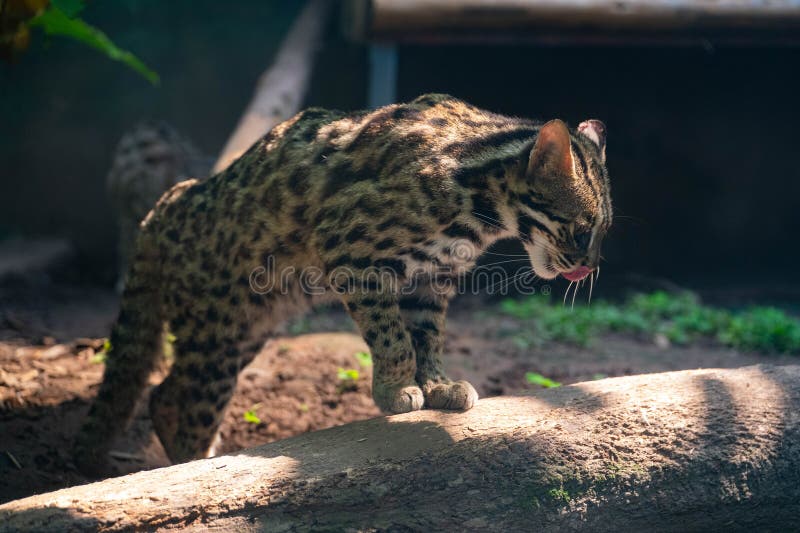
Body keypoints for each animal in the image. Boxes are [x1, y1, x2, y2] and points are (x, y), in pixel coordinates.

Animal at [75, 93, 612, 472]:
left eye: (603, 231)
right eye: (582, 230)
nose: (590, 269)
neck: (481, 206)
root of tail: (164, 206)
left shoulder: (432, 279)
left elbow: (428, 337)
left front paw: (438, 386)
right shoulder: (352, 253)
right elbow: (395, 339)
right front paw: (395, 392)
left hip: (248, 327)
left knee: (164, 394)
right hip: (216, 334)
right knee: (187, 401)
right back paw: (196, 466)